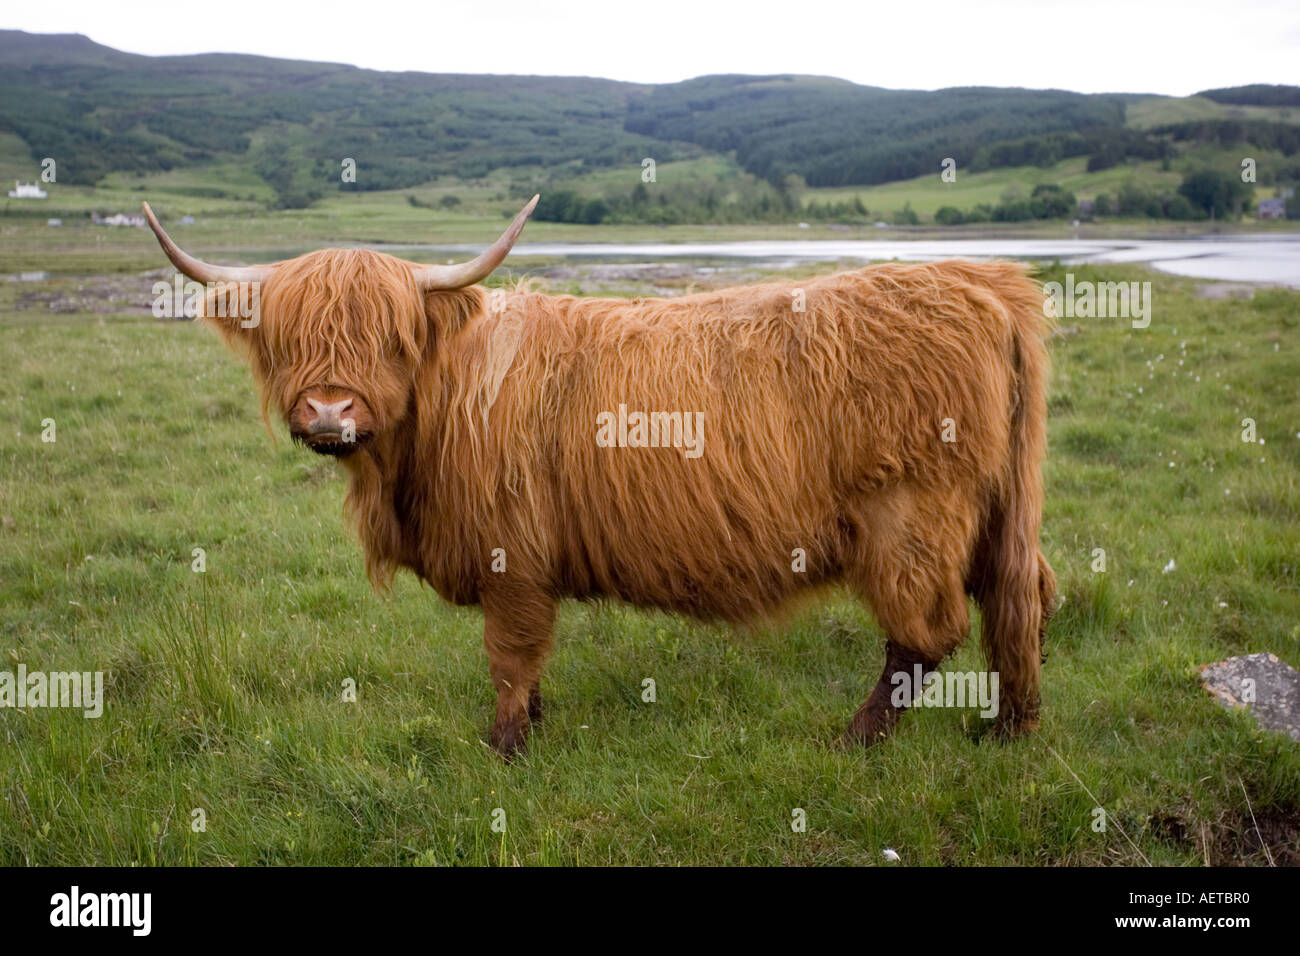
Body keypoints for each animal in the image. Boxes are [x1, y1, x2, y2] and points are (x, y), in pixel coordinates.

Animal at [142, 197, 1056, 758]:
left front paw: (506, 747)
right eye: (289, 339)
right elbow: (528, 659)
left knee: (929, 631)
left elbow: (510, 653)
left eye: (391, 339)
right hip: (998, 505)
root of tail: (983, 281)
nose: (329, 411)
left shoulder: (513, 556)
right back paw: (1010, 729)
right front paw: (535, 727)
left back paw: (857, 738)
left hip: (911, 514)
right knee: (1022, 597)